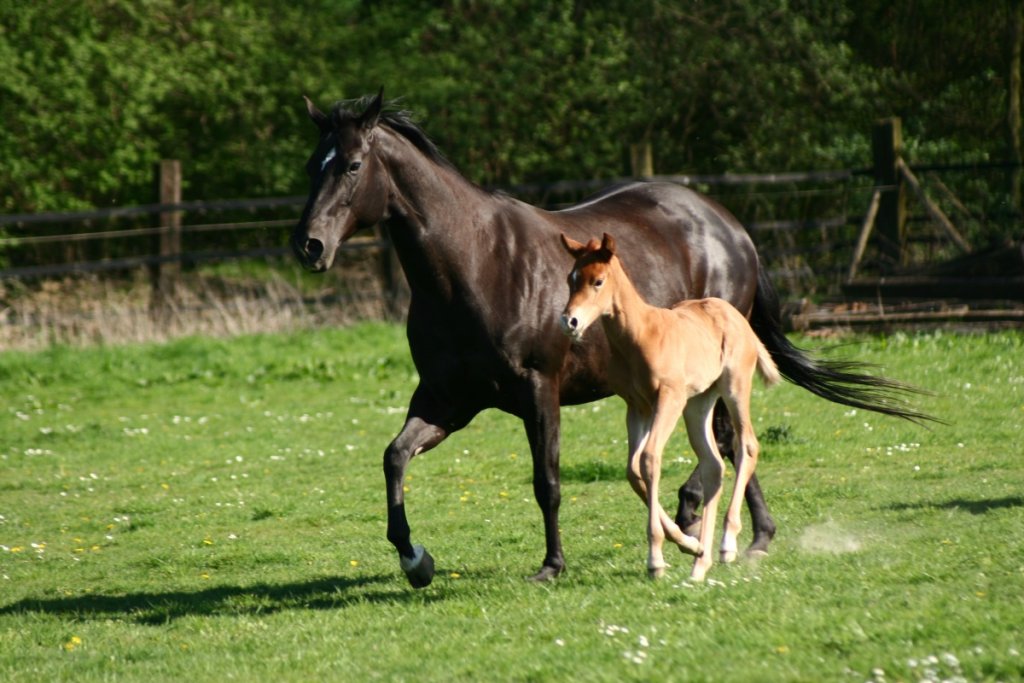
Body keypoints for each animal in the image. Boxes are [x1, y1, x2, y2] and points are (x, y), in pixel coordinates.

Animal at [560, 232, 781, 580]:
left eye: (598, 281)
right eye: (571, 279)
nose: (570, 321)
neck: (642, 335)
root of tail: (736, 317)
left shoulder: (668, 398)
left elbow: (650, 459)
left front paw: (655, 560)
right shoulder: (636, 406)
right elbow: (633, 470)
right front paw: (688, 543)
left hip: (733, 388)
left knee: (746, 446)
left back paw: (727, 544)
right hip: (698, 404)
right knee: (713, 464)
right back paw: (701, 561)